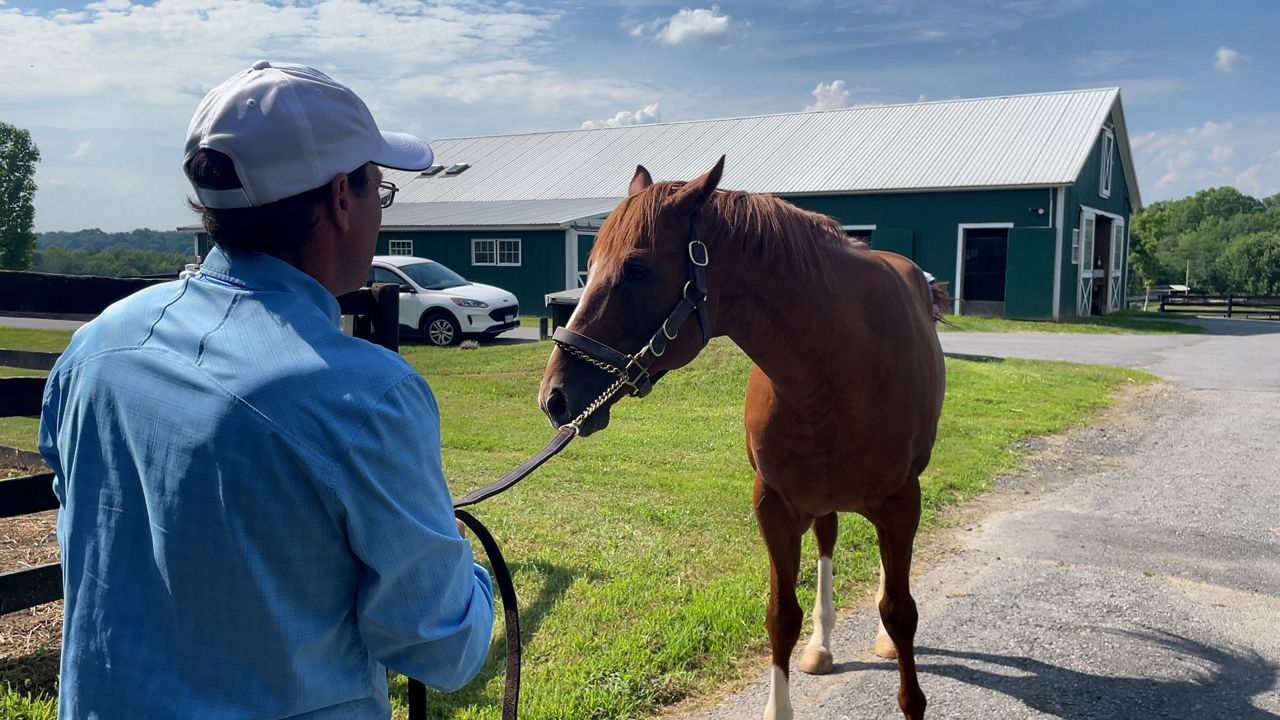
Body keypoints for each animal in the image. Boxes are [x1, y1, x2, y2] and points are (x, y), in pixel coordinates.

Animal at [538, 157, 945, 720]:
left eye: (637, 269)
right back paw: (821, 645)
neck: (833, 367)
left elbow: (901, 613)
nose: (554, 397)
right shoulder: (773, 505)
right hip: (821, 500)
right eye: (591, 263)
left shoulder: (901, 502)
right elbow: (781, 616)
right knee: (827, 540)